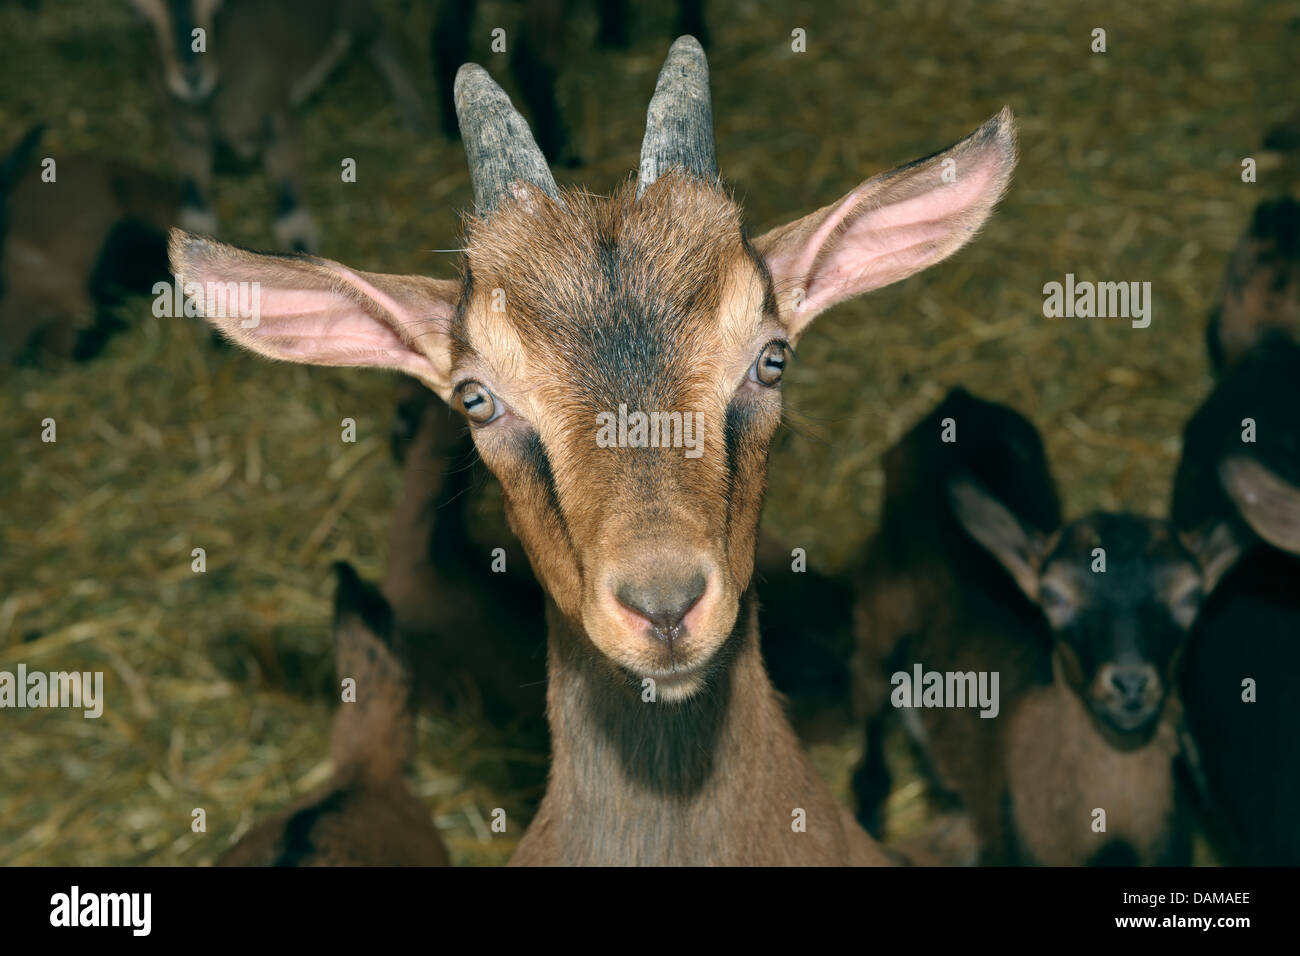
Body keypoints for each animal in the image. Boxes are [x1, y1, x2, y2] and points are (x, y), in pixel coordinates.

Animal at [128, 0, 427, 251]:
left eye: (217, 12)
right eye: (145, 19)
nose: (192, 77)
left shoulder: (279, 120)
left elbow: (292, 223)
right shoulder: (183, 134)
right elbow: (198, 216)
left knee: (378, 31)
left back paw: (415, 112)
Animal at [853, 389, 1245, 865]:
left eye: (1190, 596)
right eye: (1054, 596)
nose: (1131, 684)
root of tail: (958, 400)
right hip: (880, 603)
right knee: (869, 694)